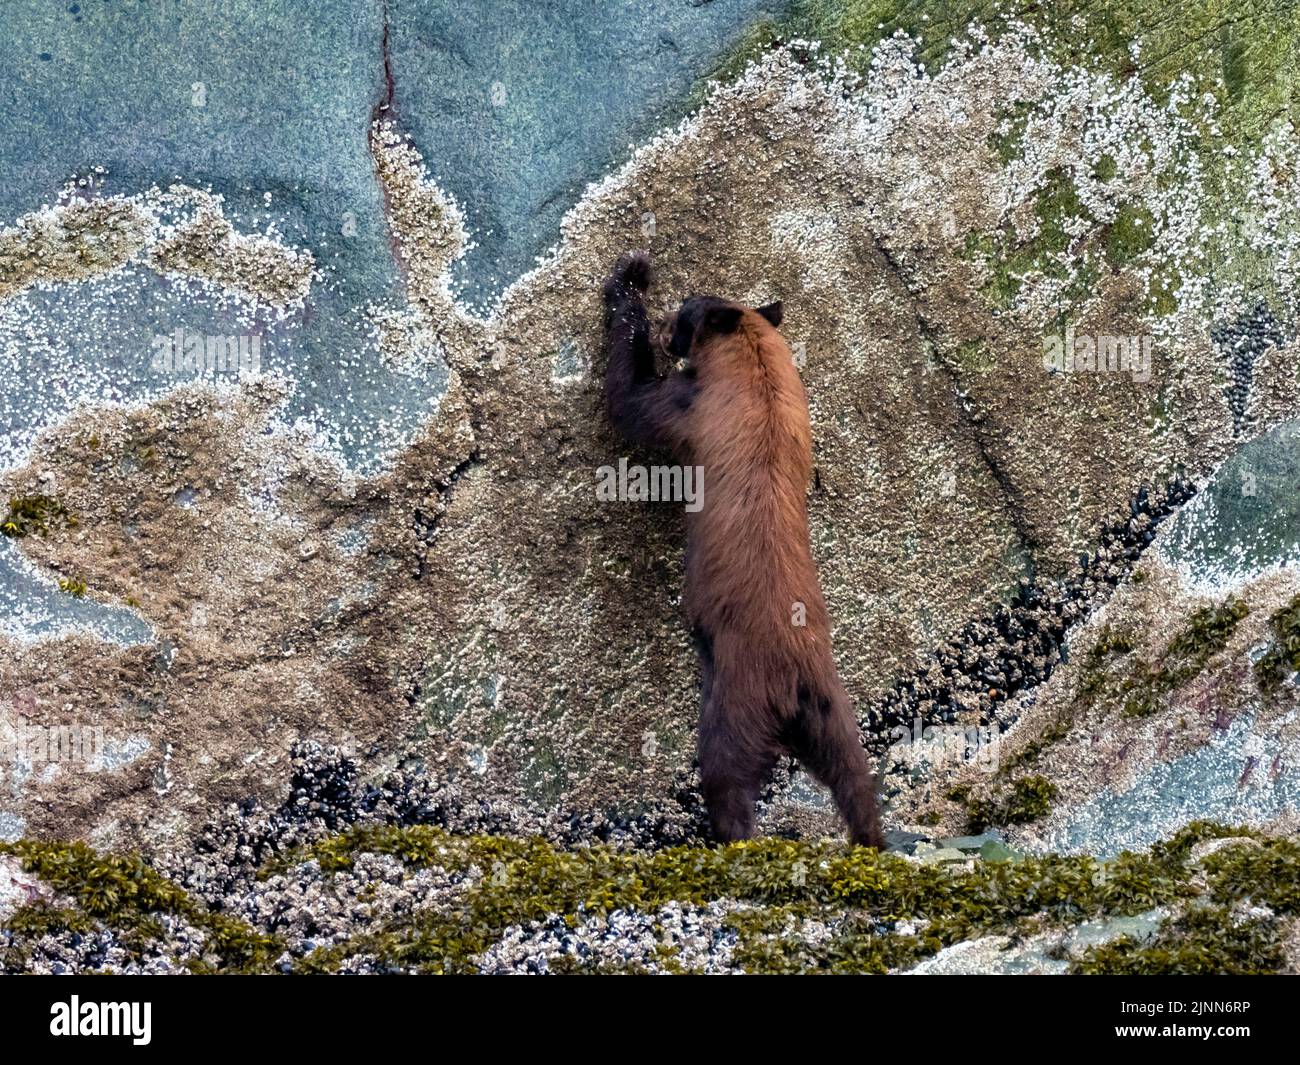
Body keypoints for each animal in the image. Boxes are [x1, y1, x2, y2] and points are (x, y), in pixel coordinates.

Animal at [602, 250, 883, 848]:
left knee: (726, 773)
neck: (757, 361)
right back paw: (871, 837)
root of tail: (795, 687)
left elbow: (631, 401)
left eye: (685, 311)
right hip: (835, 713)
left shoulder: (693, 404)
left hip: (734, 697)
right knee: (855, 776)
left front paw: (630, 278)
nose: (668, 325)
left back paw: (730, 835)